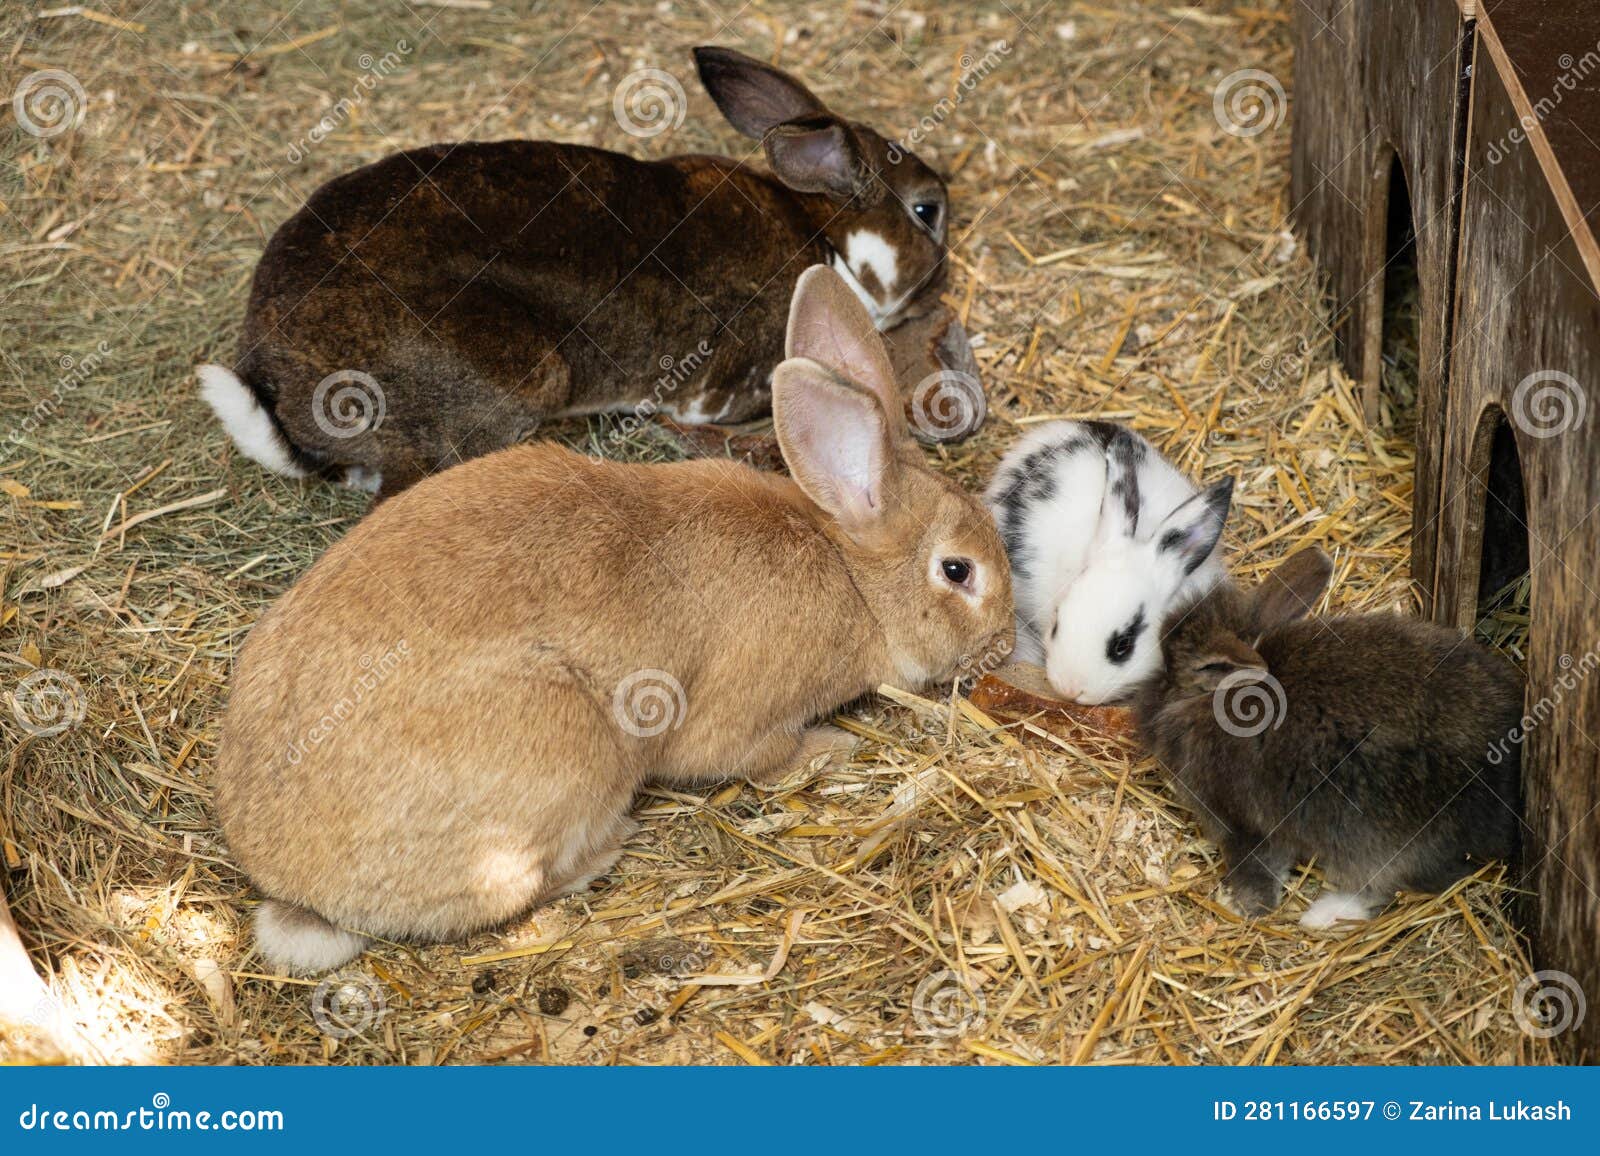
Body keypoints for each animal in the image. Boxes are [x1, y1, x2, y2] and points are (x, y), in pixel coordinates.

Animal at [212, 265, 1013, 973]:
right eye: (957, 571)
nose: (1002, 645)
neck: (850, 572)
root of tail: (294, 884)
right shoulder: (744, 718)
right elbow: (756, 756)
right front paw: (830, 749)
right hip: (566, 747)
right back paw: (609, 845)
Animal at [1133, 546, 1525, 929]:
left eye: (1184, 667)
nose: (1150, 694)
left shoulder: (1239, 821)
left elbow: (1257, 867)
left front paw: (1247, 908)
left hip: (1386, 844)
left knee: (1398, 884)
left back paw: (1322, 916)